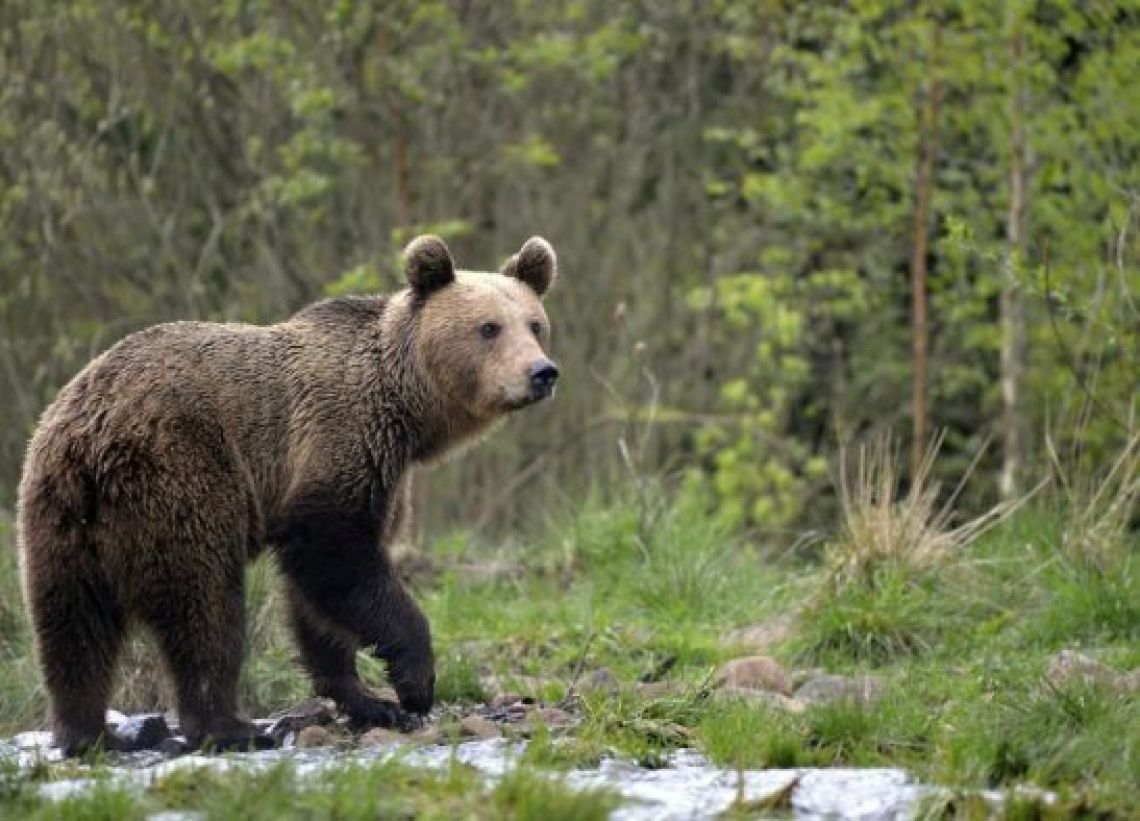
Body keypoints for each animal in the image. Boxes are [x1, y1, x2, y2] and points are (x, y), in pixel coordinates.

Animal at [16, 234, 560, 755]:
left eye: (535, 324)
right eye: (489, 328)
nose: (542, 372)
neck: (405, 408)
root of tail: (92, 434)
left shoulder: (383, 472)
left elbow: (318, 600)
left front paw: (368, 700)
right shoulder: (340, 442)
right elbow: (335, 554)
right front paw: (413, 684)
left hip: (59, 515)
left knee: (72, 627)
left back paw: (86, 733)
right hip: (180, 475)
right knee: (205, 605)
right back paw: (229, 727)